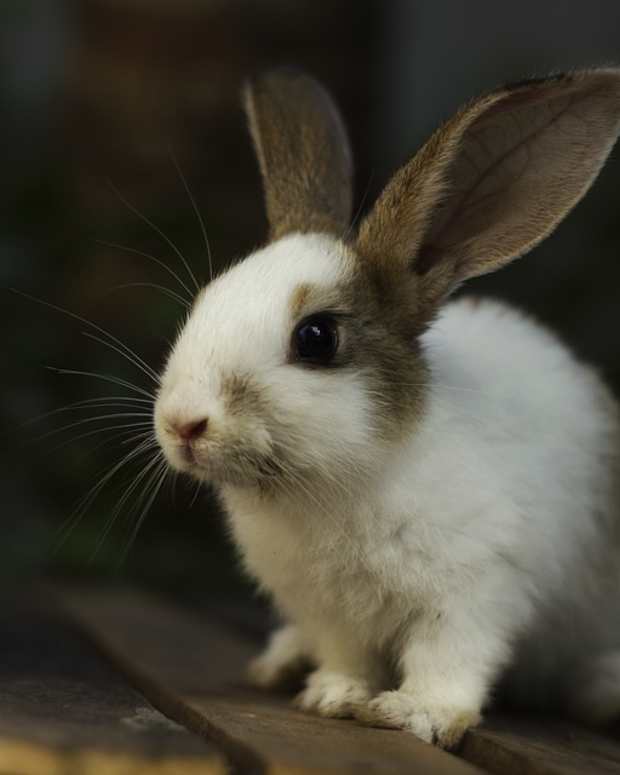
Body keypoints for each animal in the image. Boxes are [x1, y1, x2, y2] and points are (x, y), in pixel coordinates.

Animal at [154, 67, 620, 748]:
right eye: (205, 301)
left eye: (316, 338)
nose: (182, 424)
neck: (339, 480)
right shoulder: (331, 612)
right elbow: (347, 655)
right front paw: (332, 696)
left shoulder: (474, 590)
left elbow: (449, 658)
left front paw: (416, 714)